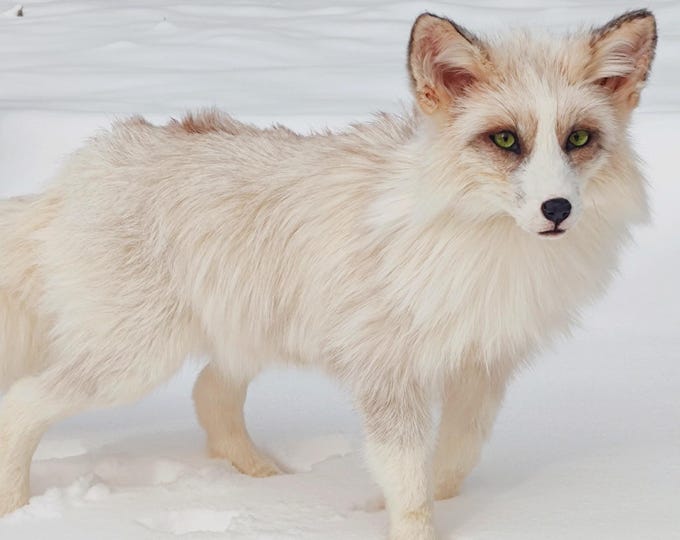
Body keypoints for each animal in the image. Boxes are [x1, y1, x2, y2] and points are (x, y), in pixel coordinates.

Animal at [0, 9, 657, 540]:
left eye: (578, 138)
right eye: (504, 140)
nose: (557, 210)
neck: (478, 239)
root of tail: (71, 177)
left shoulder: (481, 366)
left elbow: (453, 462)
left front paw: (411, 507)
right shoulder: (390, 374)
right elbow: (409, 480)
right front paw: (410, 528)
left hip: (239, 333)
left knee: (209, 392)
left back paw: (262, 481)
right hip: (133, 360)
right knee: (21, 404)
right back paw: (18, 508)